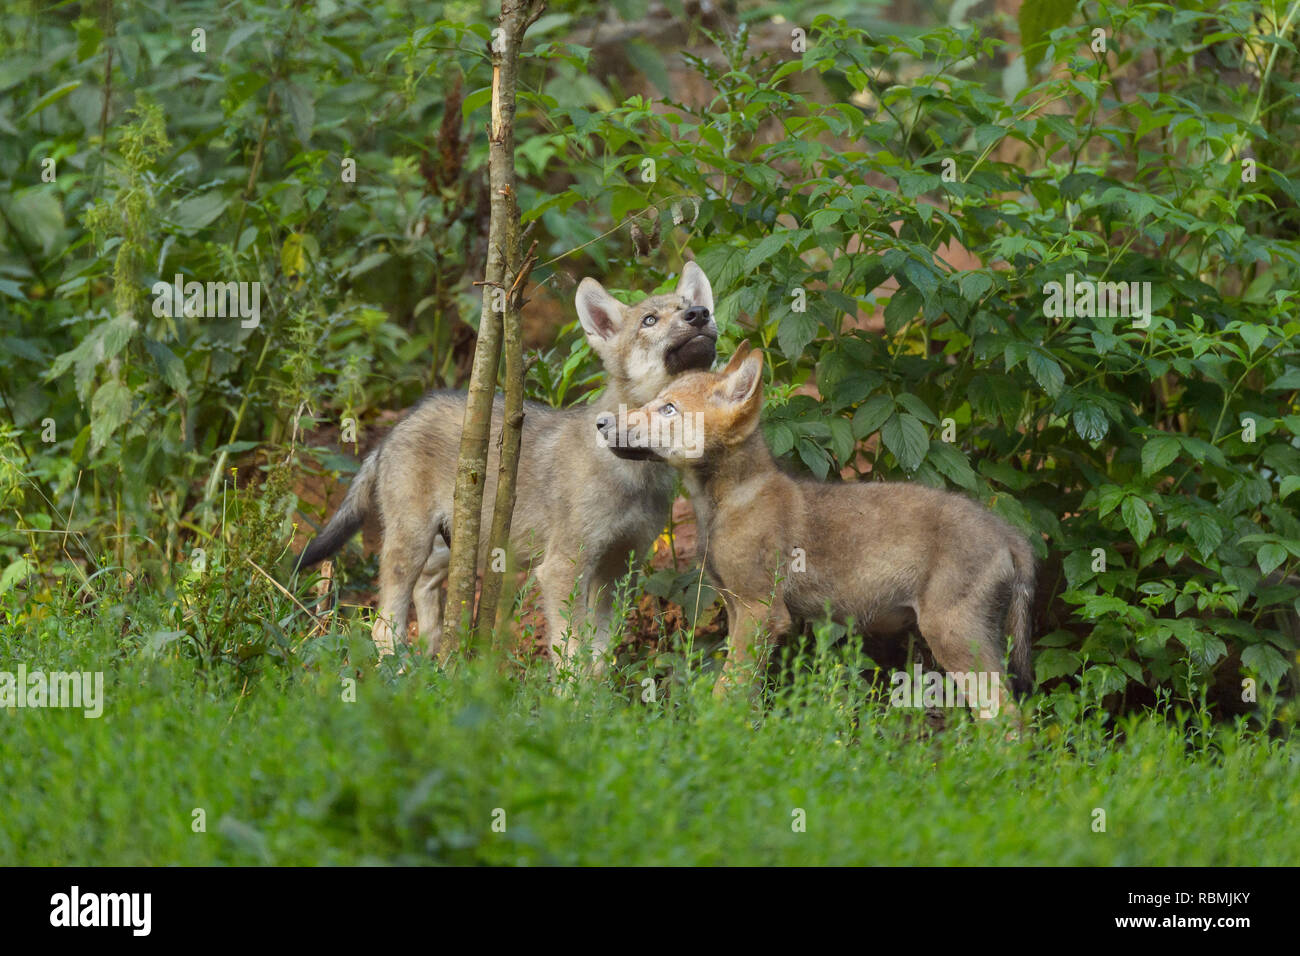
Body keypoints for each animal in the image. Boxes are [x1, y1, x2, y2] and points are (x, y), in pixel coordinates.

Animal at [297, 263, 718, 669]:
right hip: (411, 541)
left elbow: (598, 658)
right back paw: (396, 673)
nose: (701, 313)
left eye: (691, 306)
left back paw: (429, 660)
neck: (635, 471)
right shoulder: (563, 568)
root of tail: (400, 424)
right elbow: (571, 657)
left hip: (456, 540)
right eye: (649, 320)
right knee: (384, 625)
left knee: (425, 592)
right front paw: (569, 693)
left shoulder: (616, 567)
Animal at [596, 343, 1036, 715]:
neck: (728, 500)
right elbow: (743, 689)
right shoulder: (738, 609)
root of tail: (1008, 533)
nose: (601, 422)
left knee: (1006, 718)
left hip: (953, 634)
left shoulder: (762, 611)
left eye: (668, 409)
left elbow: (727, 689)